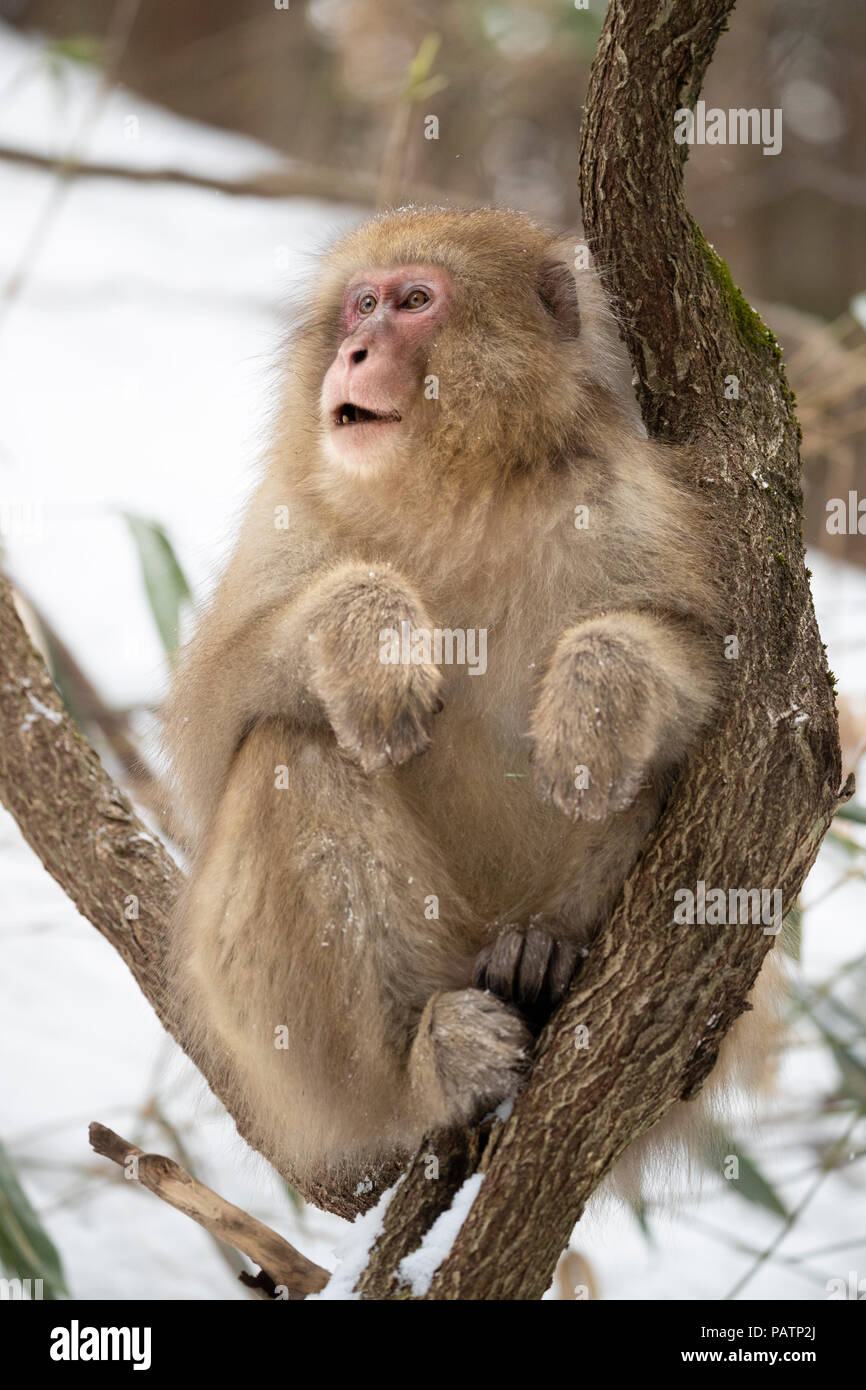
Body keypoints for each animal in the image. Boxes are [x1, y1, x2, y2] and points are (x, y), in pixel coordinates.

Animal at [164, 206, 783, 1197]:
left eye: (416, 300)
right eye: (361, 304)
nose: (356, 352)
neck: (460, 483)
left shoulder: (623, 497)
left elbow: (718, 674)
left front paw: (596, 698)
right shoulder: (295, 506)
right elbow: (209, 727)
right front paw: (371, 639)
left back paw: (546, 954)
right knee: (292, 747)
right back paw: (422, 1071)